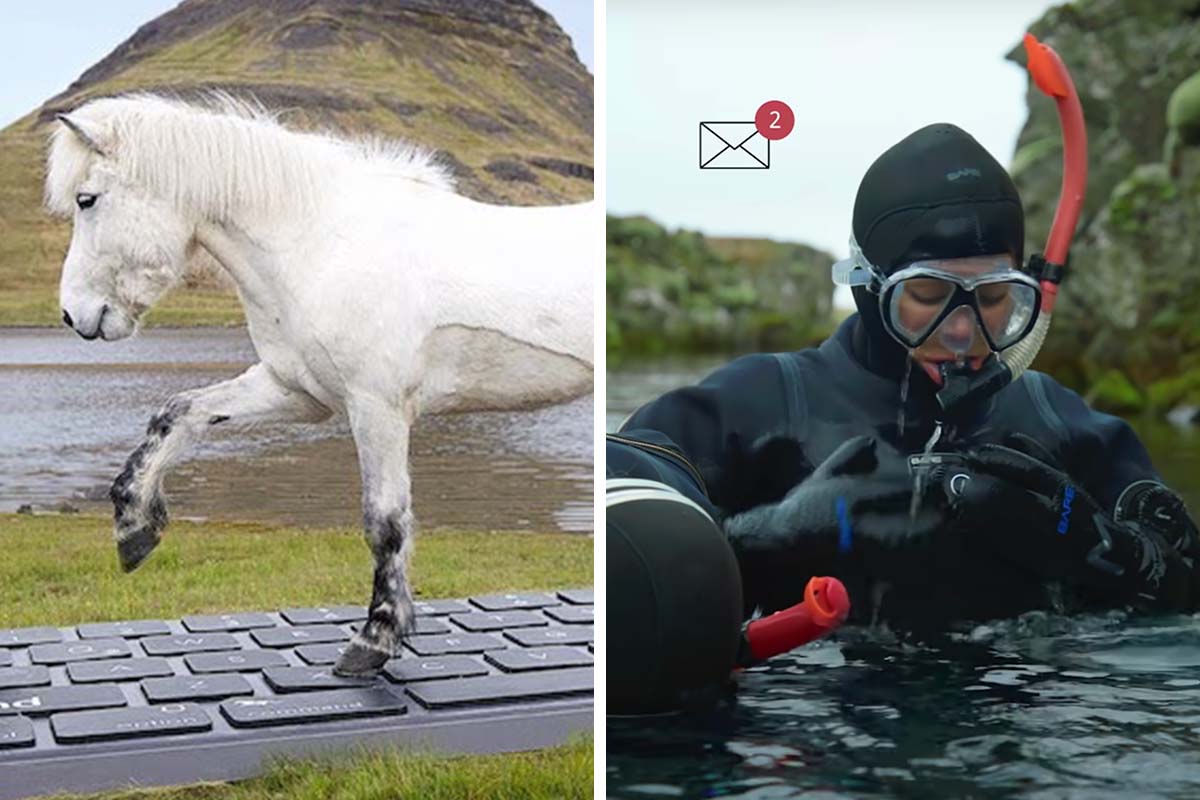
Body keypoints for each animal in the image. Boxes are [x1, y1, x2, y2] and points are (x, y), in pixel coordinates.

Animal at [45, 94, 593, 676]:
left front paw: (374, 638)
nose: (72, 314)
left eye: (86, 199)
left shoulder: (376, 408)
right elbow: (178, 413)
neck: (321, 247)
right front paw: (134, 529)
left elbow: (385, 521)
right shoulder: (297, 392)